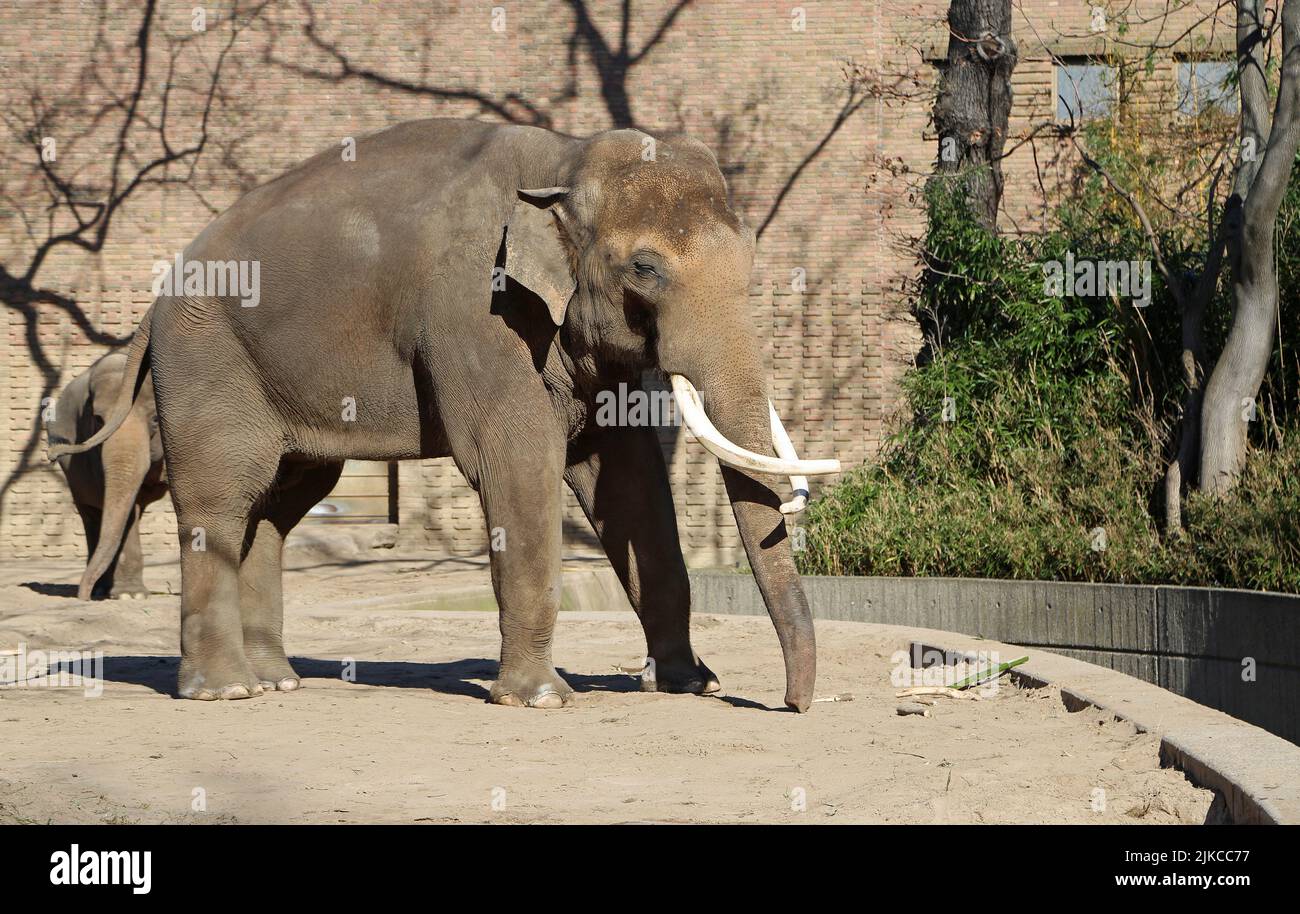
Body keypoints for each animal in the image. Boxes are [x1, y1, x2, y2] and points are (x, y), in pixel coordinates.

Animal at [46, 351, 167, 601]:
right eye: (98, 419)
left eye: (155, 419)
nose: (81, 596)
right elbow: (126, 511)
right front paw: (130, 596)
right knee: (92, 515)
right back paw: (101, 590)